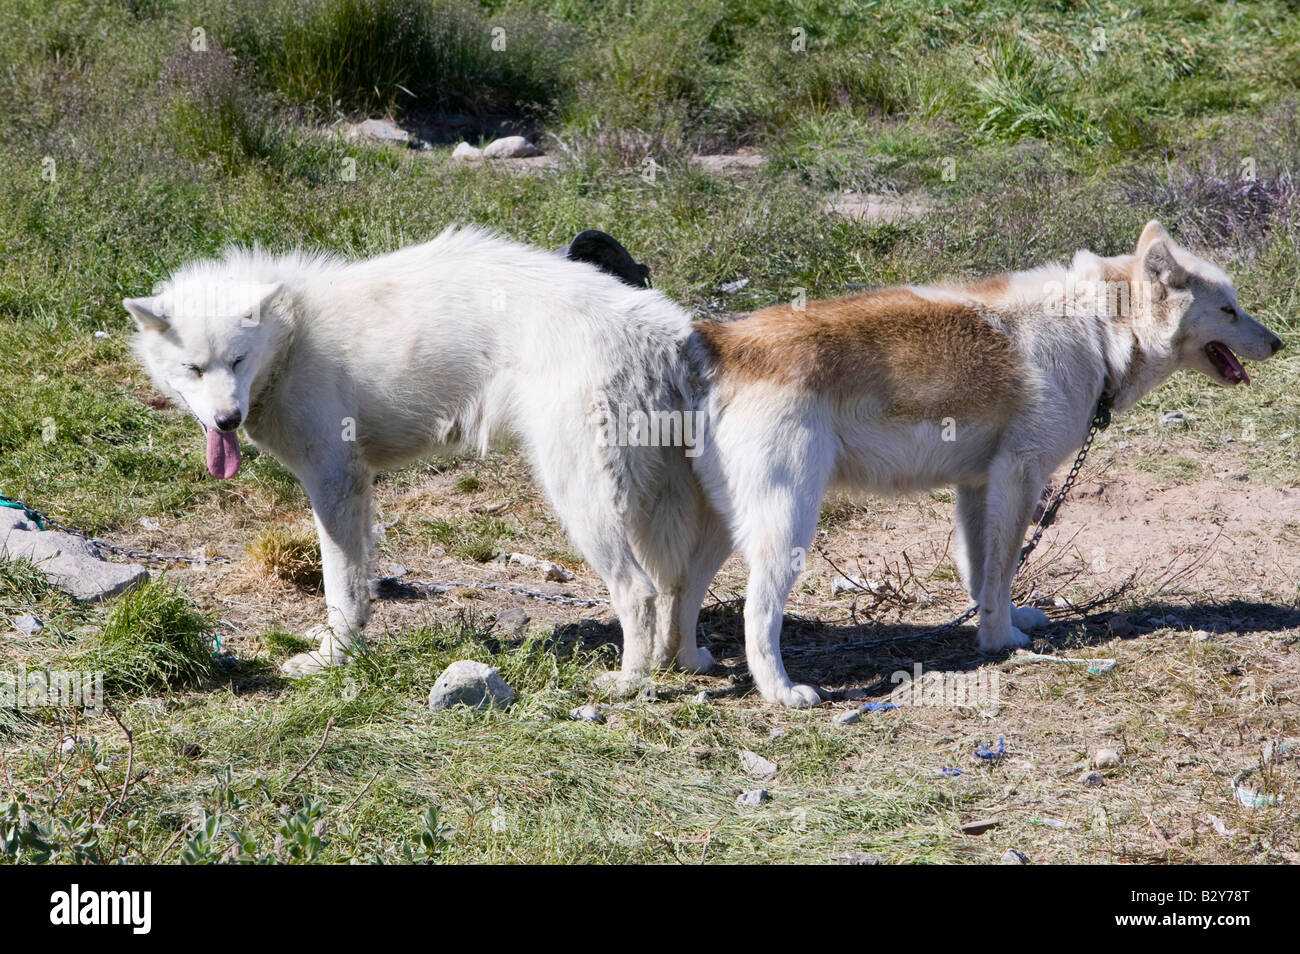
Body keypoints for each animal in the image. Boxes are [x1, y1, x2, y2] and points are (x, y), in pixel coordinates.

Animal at [126, 228, 717, 681]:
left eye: (238, 360)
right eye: (194, 369)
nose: (227, 420)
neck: (292, 334)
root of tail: (666, 330)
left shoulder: (333, 481)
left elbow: (340, 587)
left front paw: (329, 661)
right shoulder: (355, 486)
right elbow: (360, 586)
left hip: (583, 503)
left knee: (639, 592)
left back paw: (628, 685)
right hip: (655, 511)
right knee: (679, 588)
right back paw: (682, 664)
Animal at [660, 220, 1279, 707]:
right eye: (1229, 310)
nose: (1277, 343)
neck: (1096, 332)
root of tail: (723, 341)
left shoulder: (980, 487)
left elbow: (984, 573)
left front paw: (1004, 619)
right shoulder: (1018, 478)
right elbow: (1002, 568)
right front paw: (1001, 639)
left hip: (726, 529)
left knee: (684, 593)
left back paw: (692, 661)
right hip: (787, 526)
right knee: (756, 613)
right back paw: (782, 691)